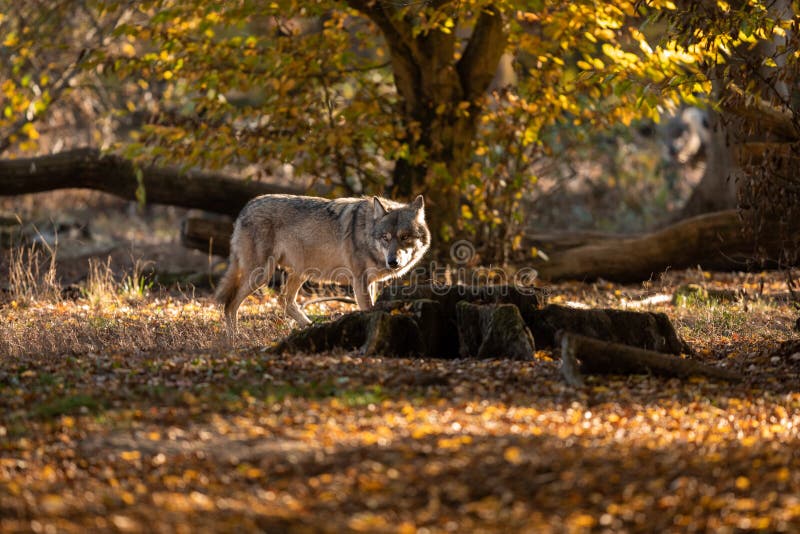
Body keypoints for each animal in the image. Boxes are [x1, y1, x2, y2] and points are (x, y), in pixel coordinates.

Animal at [216, 194, 430, 337]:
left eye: (404, 237)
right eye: (385, 238)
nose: (392, 262)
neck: (366, 231)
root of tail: (246, 207)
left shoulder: (370, 282)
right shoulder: (359, 280)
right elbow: (369, 309)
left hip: (300, 272)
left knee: (284, 301)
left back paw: (312, 327)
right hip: (262, 274)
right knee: (230, 304)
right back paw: (235, 339)